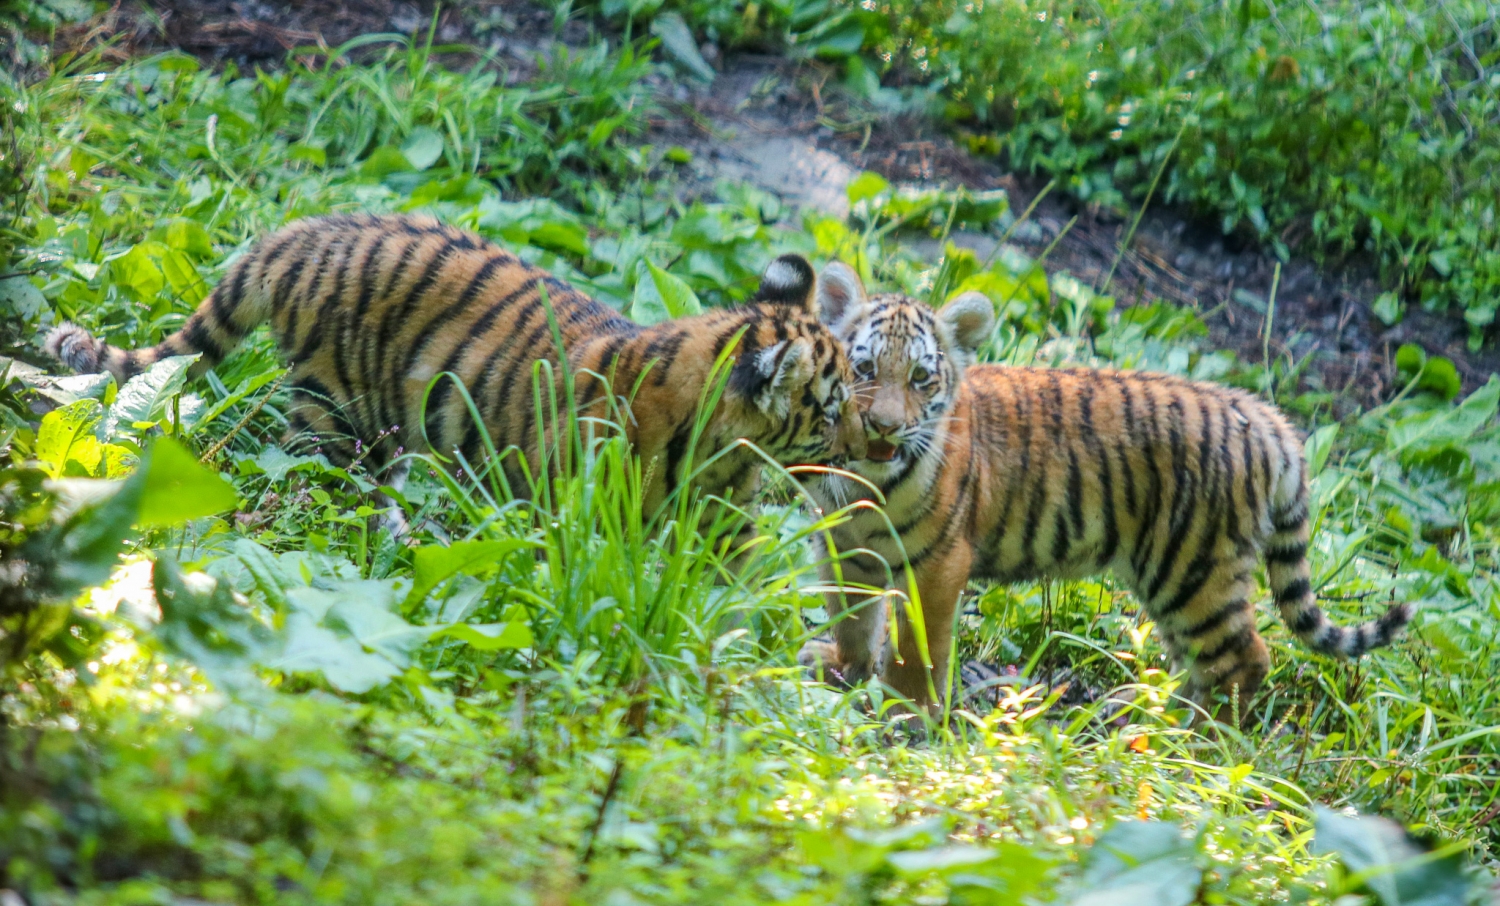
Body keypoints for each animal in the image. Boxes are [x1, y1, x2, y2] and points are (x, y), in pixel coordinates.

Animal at [44, 214, 866, 536]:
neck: (719, 452)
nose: (876, 447)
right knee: (315, 484)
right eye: (829, 413)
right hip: (337, 414)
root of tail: (300, 233)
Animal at [779, 260, 1412, 719]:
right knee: (1199, 660)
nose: (883, 426)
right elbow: (851, 616)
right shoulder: (842, 545)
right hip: (1170, 576)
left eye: (920, 378)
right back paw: (1142, 714)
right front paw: (841, 670)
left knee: (1243, 659)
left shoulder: (937, 564)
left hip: (1192, 568)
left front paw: (906, 710)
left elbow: (917, 643)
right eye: (865, 370)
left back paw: (1189, 746)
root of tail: (1266, 417)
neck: (869, 479)